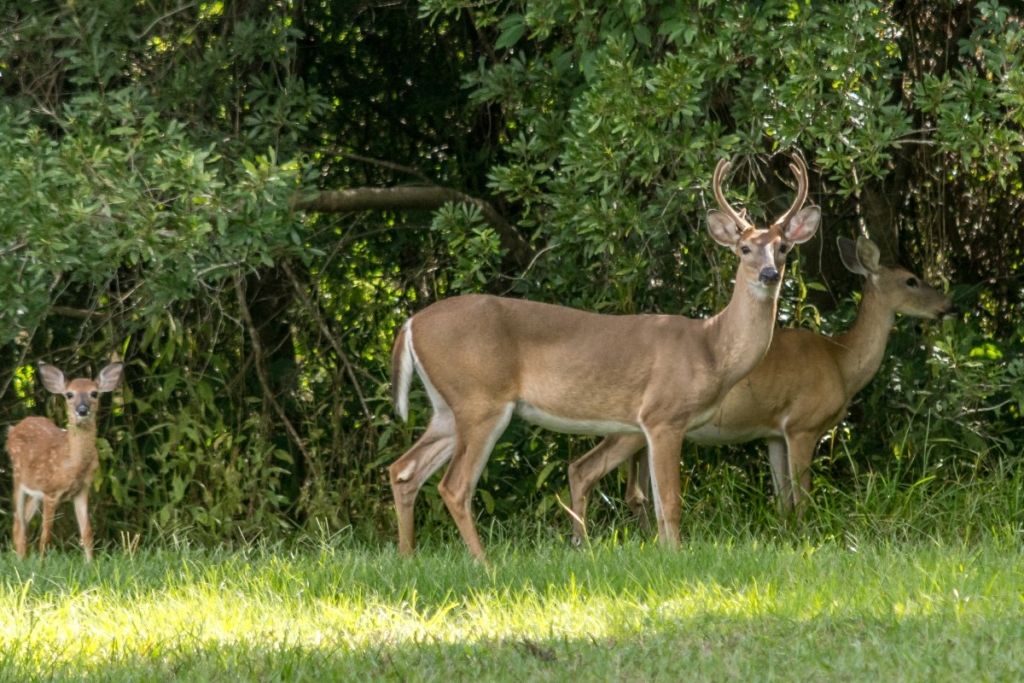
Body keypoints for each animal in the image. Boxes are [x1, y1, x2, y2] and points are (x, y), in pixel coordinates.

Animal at [7, 361, 124, 561]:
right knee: (19, 521)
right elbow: (46, 534)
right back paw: (21, 559)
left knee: (21, 522)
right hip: (18, 478)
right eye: (69, 394)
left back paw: (22, 559)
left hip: (34, 490)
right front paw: (42, 564)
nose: (82, 410)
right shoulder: (51, 492)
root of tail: (13, 429)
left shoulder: (82, 489)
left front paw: (91, 563)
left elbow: (87, 532)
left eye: (94, 393)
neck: (71, 463)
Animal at [388, 156, 821, 560]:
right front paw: (675, 558)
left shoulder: (654, 425)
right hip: (481, 400)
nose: (769, 274)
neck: (710, 348)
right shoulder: (663, 416)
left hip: (448, 408)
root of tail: (410, 324)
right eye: (744, 248)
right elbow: (670, 504)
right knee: (453, 485)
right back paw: (484, 563)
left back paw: (408, 556)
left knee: (404, 469)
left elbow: (657, 504)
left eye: (783, 248)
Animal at [566, 235, 958, 542]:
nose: (949, 306)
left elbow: (782, 497)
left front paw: (785, 535)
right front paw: (806, 536)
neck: (842, 361)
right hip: (636, 425)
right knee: (589, 471)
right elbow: (802, 494)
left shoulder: (773, 432)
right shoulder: (803, 424)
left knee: (634, 491)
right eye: (911, 280)